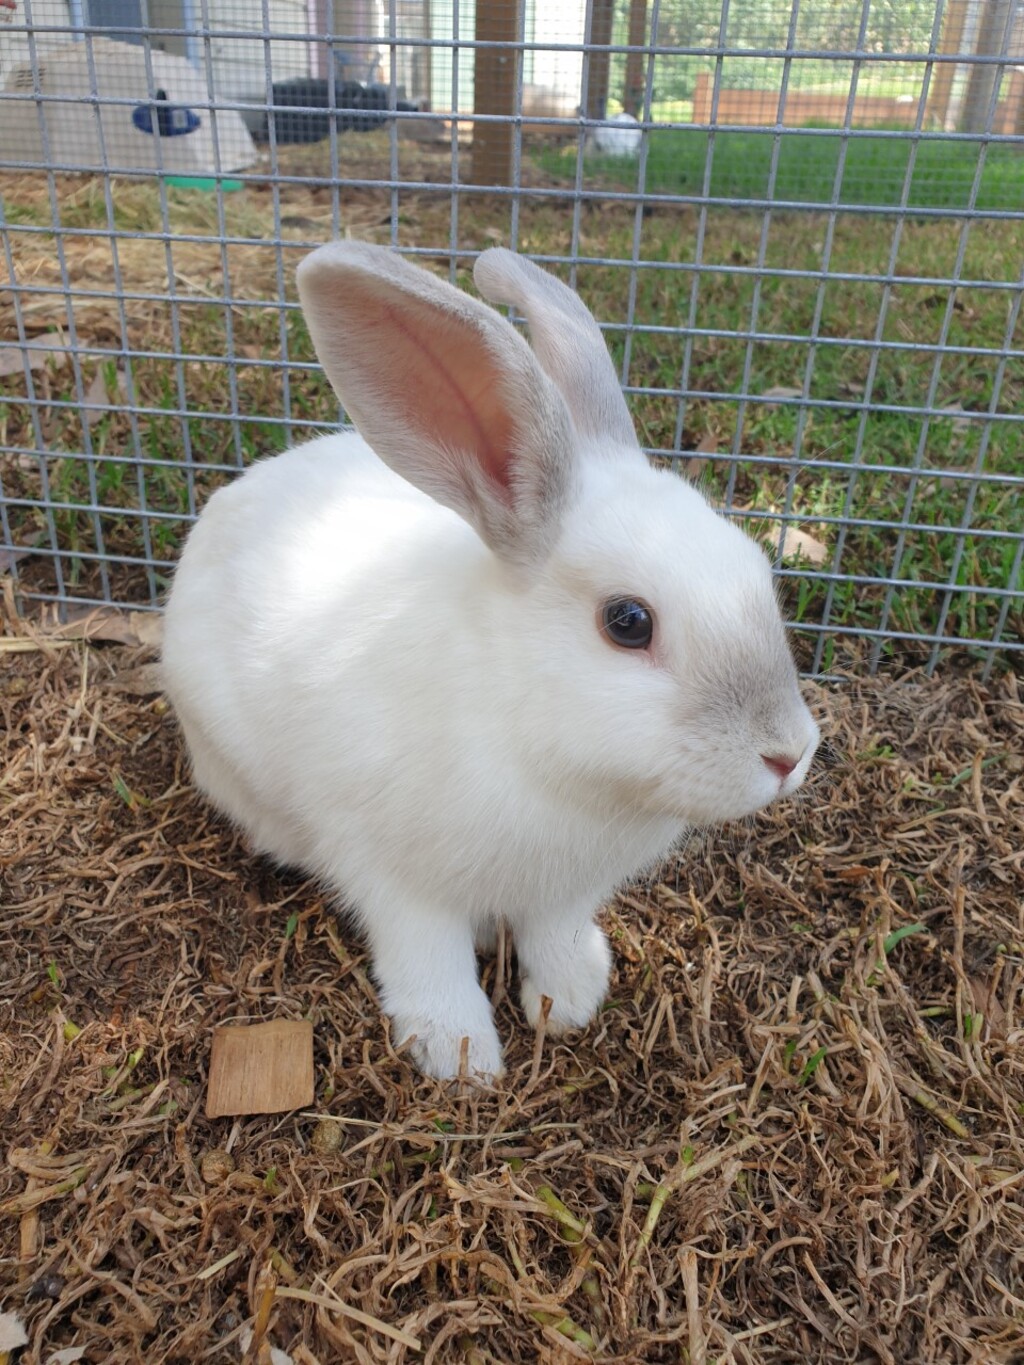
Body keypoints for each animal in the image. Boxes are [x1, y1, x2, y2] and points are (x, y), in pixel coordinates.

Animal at [161, 242, 820, 1081]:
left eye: (757, 566)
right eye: (628, 622)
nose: (789, 754)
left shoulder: (565, 893)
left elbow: (555, 938)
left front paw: (569, 1000)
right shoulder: (394, 878)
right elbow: (427, 958)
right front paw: (459, 1053)